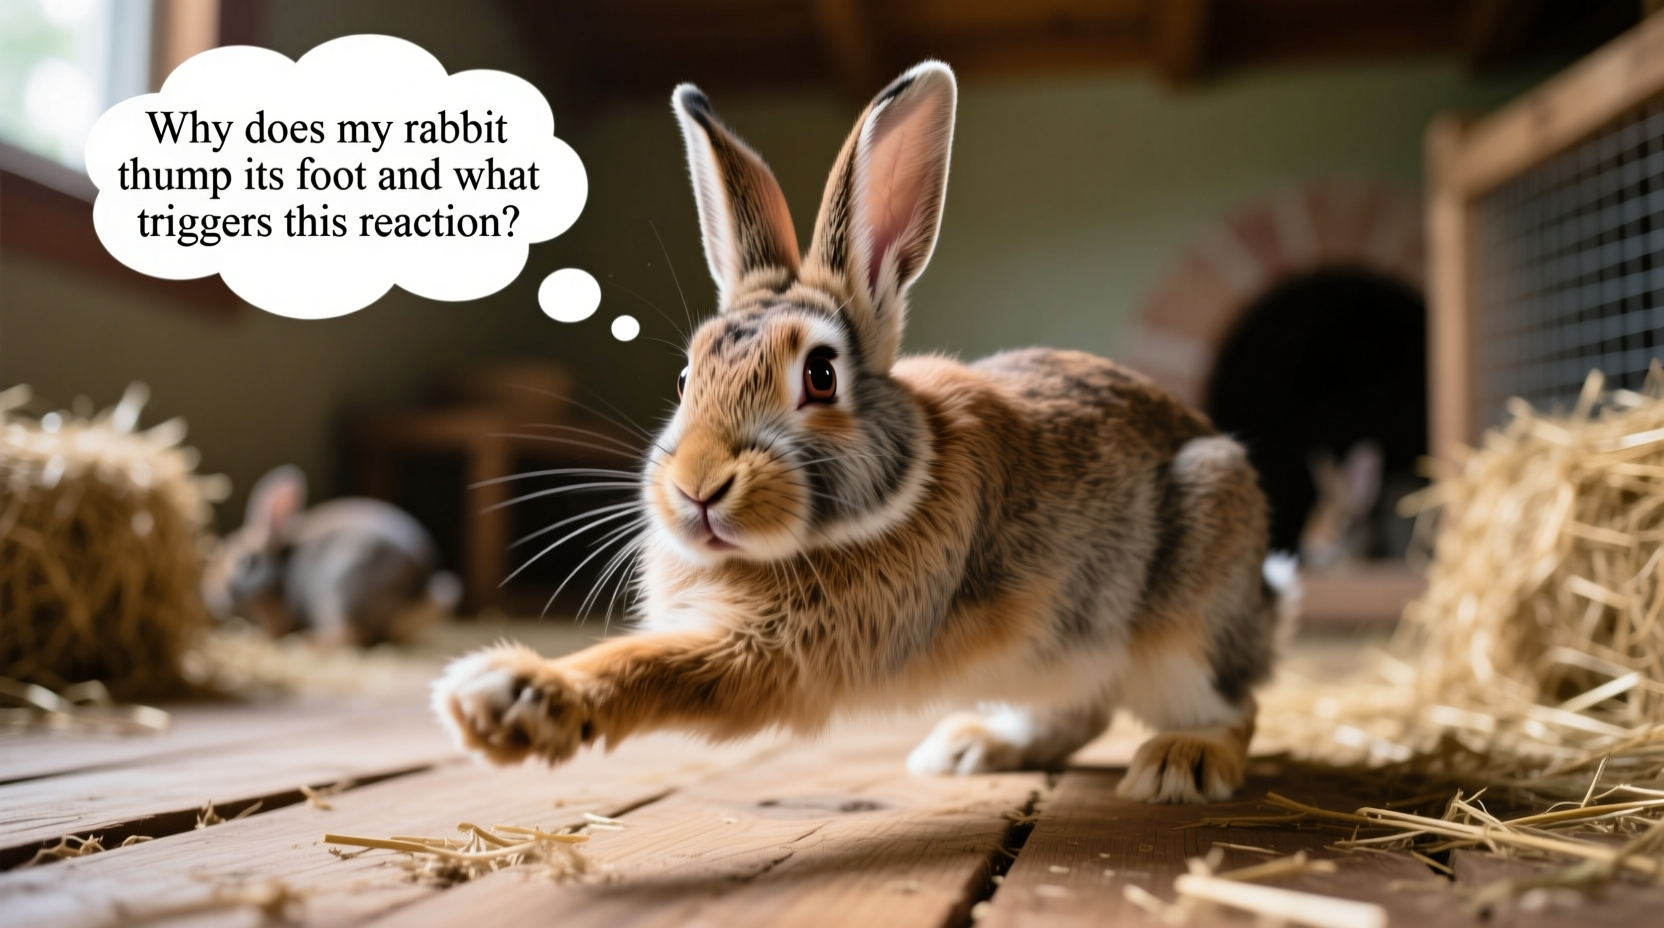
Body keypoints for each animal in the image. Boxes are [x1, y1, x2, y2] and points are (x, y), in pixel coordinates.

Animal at [203, 465, 461, 647]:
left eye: (243, 561)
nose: (210, 592)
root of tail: (419, 588)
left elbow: (273, 631)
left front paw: (254, 638)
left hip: (341, 590)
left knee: (351, 635)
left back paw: (305, 641)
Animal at [431, 61, 1294, 804]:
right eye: (684, 379)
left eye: (820, 375)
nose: (698, 488)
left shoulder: (773, 653)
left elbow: (658, 664)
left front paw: (511, 696)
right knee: (1078, 709)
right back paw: (971, 747)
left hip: (1186, 619)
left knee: (1233, 708)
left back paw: (1180, 763)